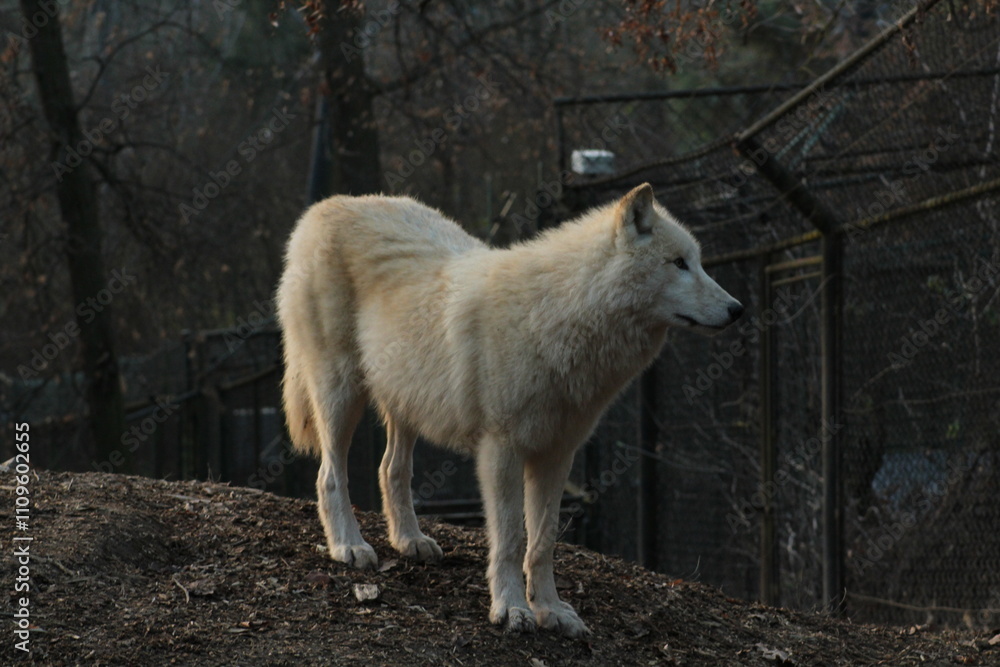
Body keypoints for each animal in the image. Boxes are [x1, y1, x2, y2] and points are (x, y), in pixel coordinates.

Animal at [275, 183, 742, 638]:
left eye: (698, 263)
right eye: (678, 263)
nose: (737, 309)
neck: (560, 315)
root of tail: (328, 205)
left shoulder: (557, 455)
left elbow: (543, 542)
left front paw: (551, 610)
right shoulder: (502, 451)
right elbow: (512, 540)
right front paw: (512, 609)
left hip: (406, 402)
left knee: (391, 469)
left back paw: (411, 540)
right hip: (339, 393)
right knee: (329, 475)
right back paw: (349, 546)